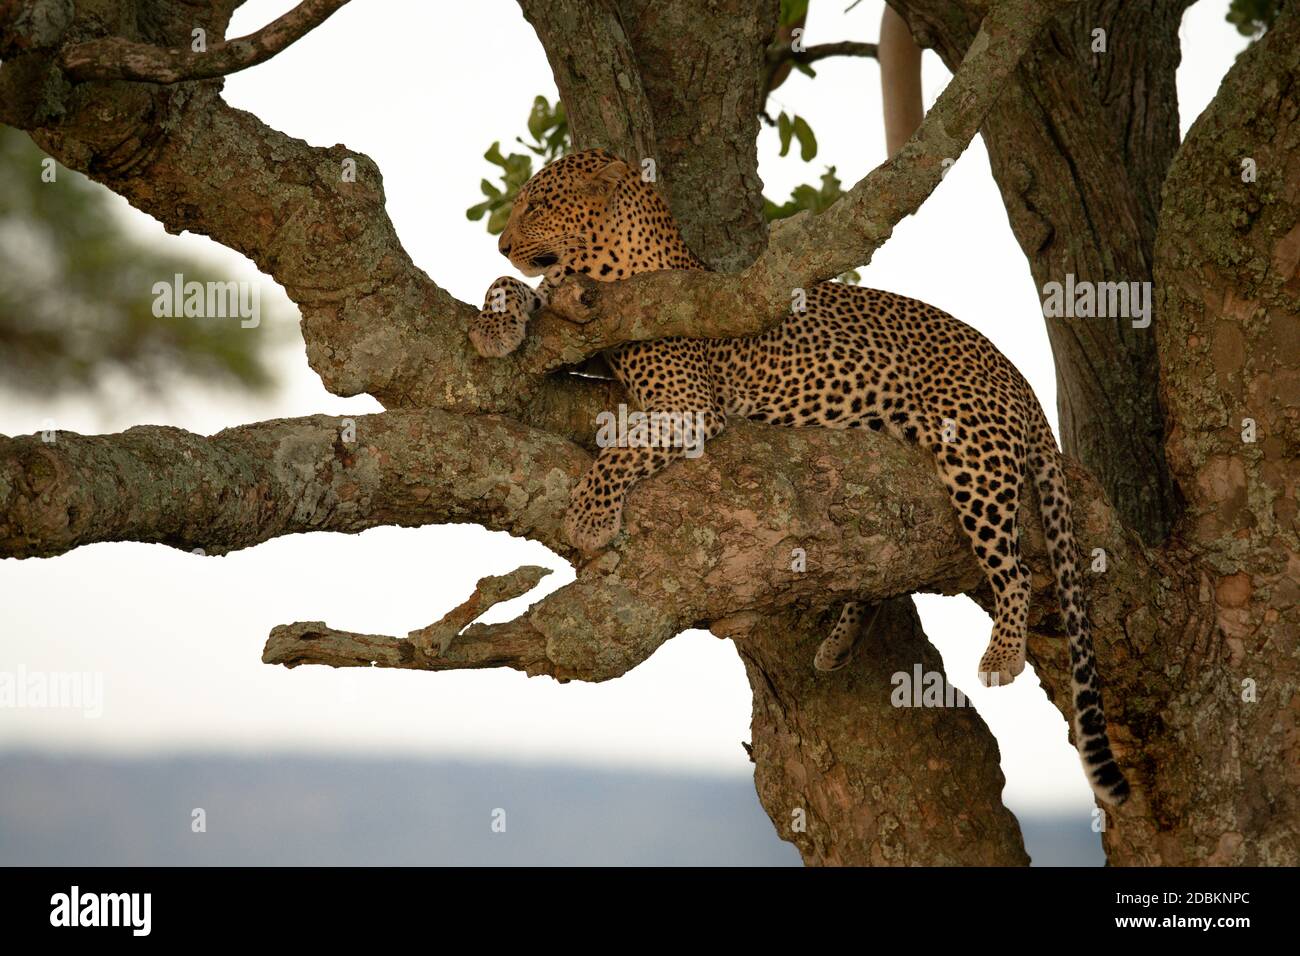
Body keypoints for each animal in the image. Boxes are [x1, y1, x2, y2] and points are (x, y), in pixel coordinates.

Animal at [469, 148, 1130, 806]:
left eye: (538, 203)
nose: (501, 243)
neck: (613, 269)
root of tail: (1013, 371)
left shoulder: (687, 403)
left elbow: (623, 448)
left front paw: (589, 515)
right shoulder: (583, 324)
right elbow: (520, 290)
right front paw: (493, 326)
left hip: (972, 455)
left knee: (1014, 570)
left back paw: (1003, 654)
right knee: (883, 564)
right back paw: (839, 643)